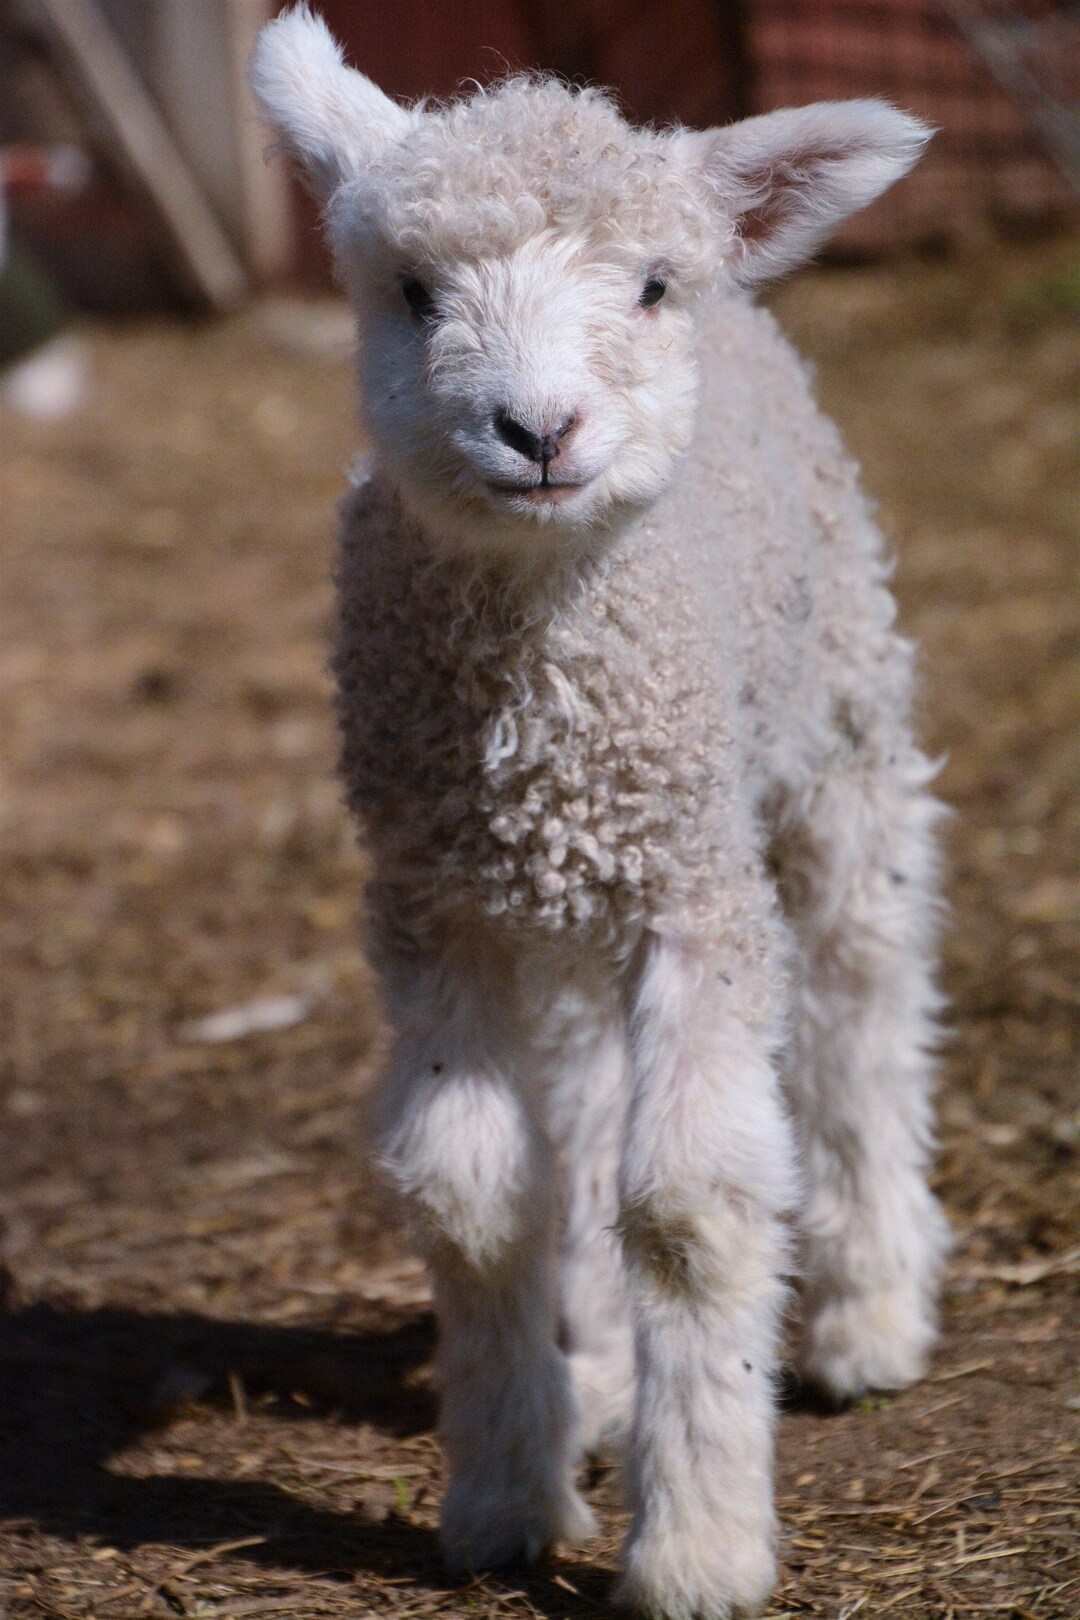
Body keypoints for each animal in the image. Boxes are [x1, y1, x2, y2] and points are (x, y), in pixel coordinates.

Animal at [251, 9, 950, 1616]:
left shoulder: (696, 885)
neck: (543, 708)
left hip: (838, 725)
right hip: (556, 915)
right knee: (579, 1105)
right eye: (411, 291)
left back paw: (872, 1315)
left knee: (863, 991)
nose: (539, 428)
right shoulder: (436, 902)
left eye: (645, 287)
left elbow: (690, 1207)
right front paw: (506, 1493)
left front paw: (697, 1546)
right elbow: (473, 1194)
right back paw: (605, 1376)